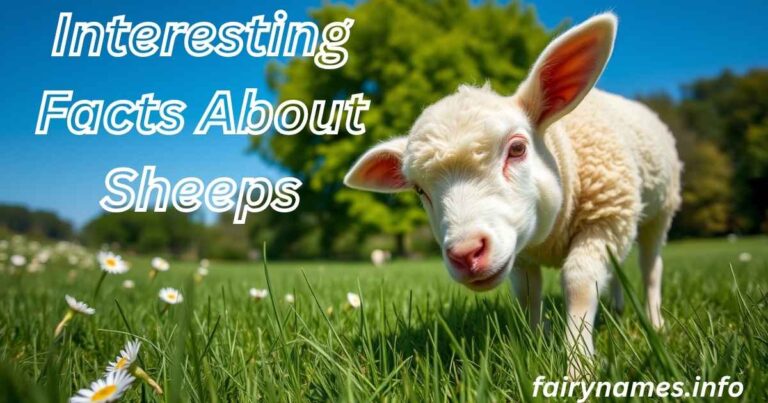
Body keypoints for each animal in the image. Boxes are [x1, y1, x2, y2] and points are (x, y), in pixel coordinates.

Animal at [344, 12, 682, 376]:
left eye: (517, 149)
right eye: (419, 189)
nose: (466, 253)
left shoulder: (605, 221)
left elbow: (579, 283)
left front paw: (578, 366)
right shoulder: (519, 252)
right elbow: (527, 294)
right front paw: (535, 345)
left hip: (660, 211)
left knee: (650, 267)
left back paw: (655, 321)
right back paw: (618, 308)